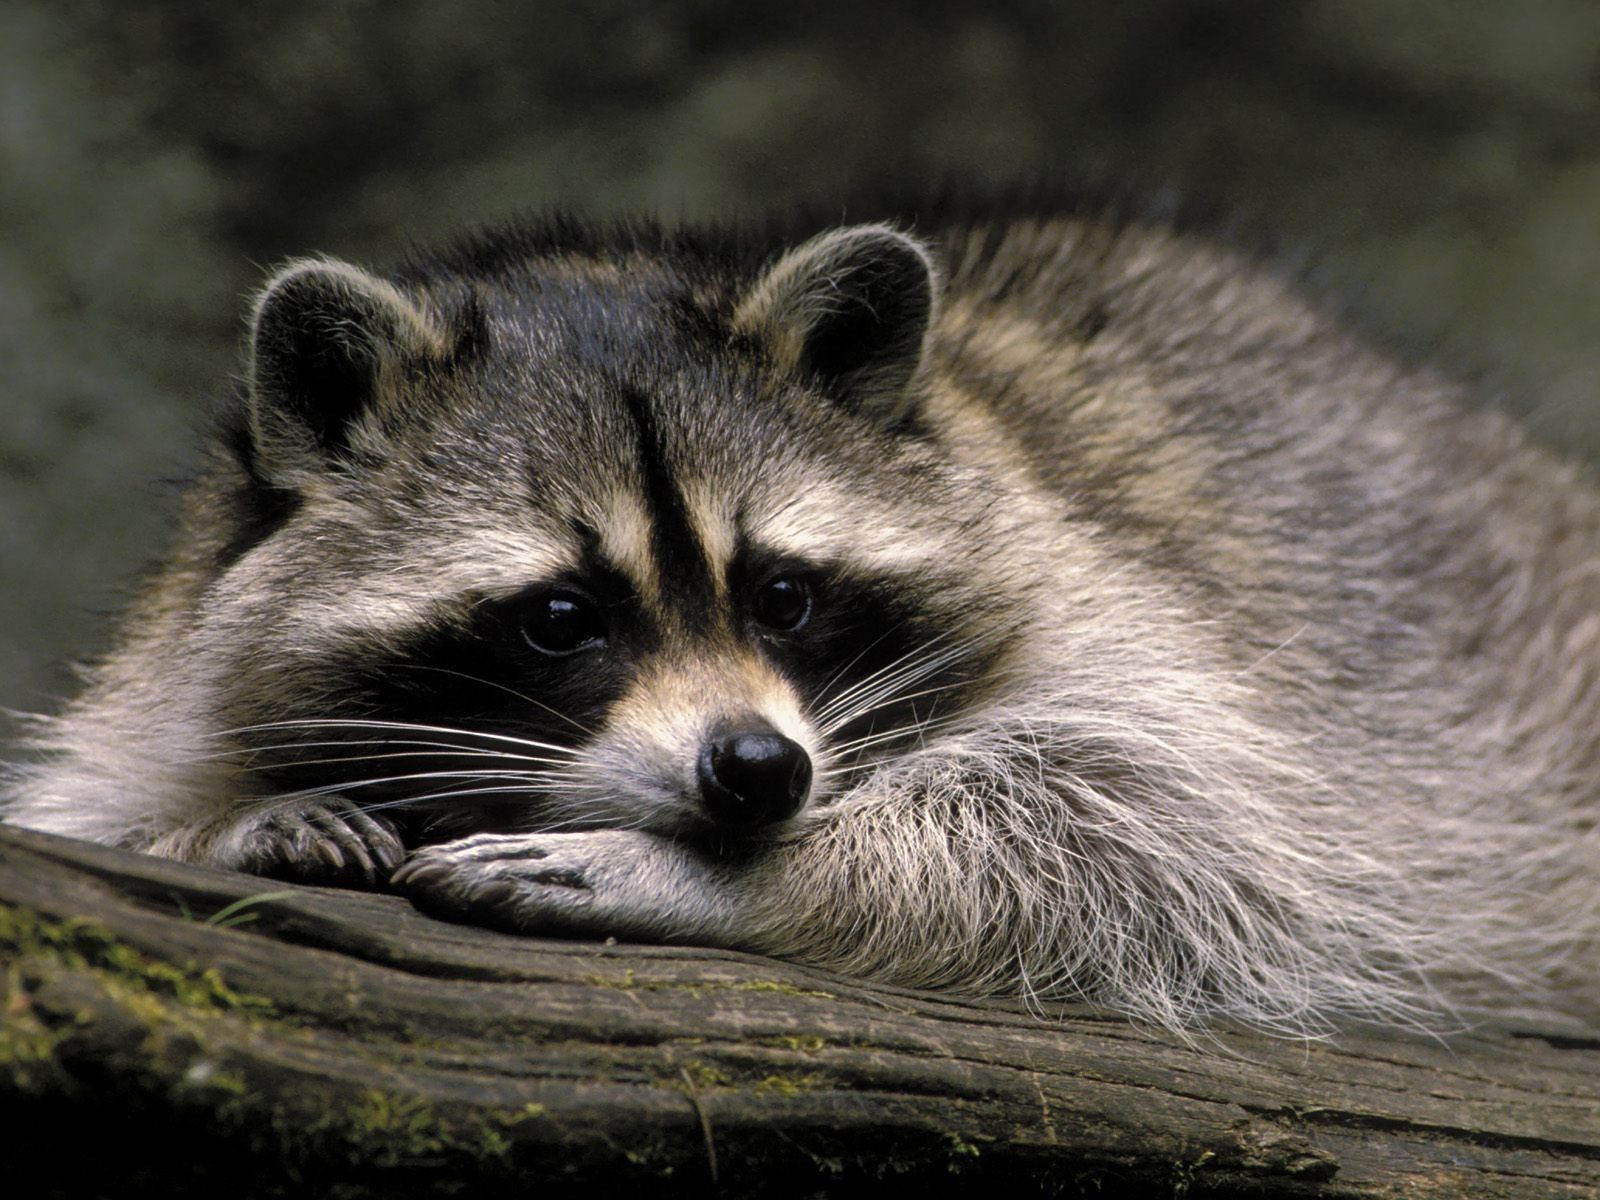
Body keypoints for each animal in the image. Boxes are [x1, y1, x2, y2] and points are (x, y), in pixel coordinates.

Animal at [5, 199, 1598, 1037]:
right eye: (561, 616)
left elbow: (1154, 838)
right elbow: (90, 804)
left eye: (783, 593)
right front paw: (220, 823)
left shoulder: (1132, 615)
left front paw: (714, 875)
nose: (757, 774)